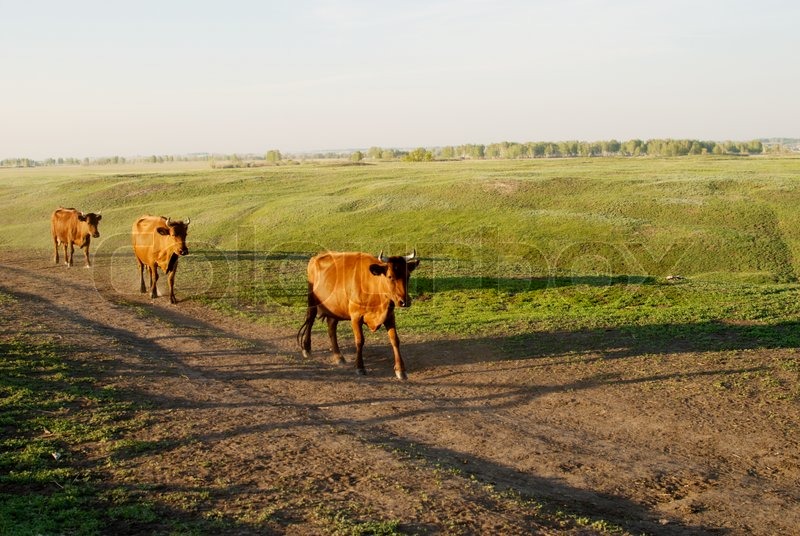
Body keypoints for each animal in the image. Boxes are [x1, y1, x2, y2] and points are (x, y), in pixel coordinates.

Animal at [297, 250, 420, 380]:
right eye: (390, 276)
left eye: (408, 276)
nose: (404, 302)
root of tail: (317, 257)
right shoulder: (356, 317)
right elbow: (360, 341)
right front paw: (360, 367)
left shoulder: (389, 316)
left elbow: (395, 340)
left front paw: (400, 370)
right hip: (312, 299)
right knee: (310, 319)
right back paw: (306, 348)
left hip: (335, 307)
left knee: (331, 327)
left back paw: (338, 356)